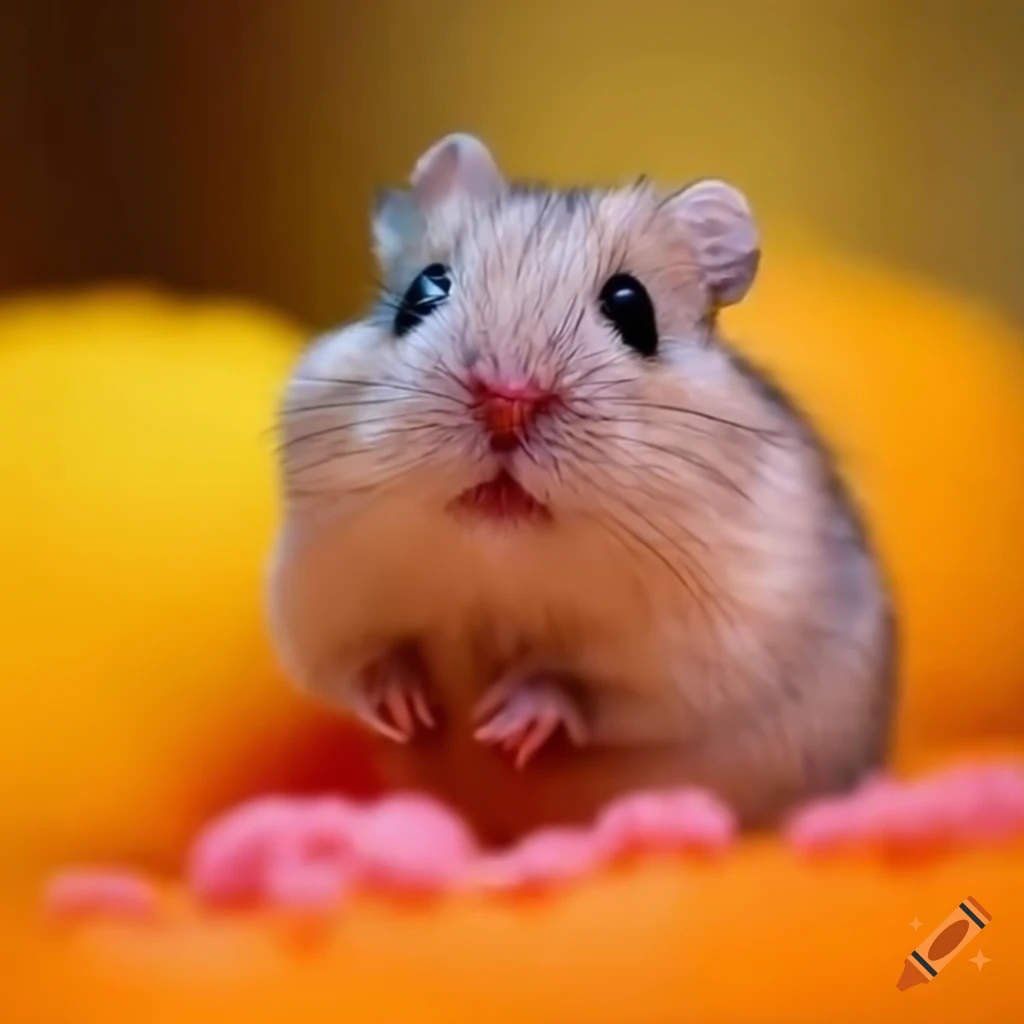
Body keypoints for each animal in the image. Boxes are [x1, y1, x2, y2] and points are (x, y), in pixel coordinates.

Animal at [266, 133, 895, 844]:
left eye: (633, 308)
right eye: (423, 291)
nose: (507, 400)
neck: (495, 582)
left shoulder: (686, 663)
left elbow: (577, 688)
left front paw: (501, 726)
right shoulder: (316, 612)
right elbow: (360, 667)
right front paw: (408, 711)